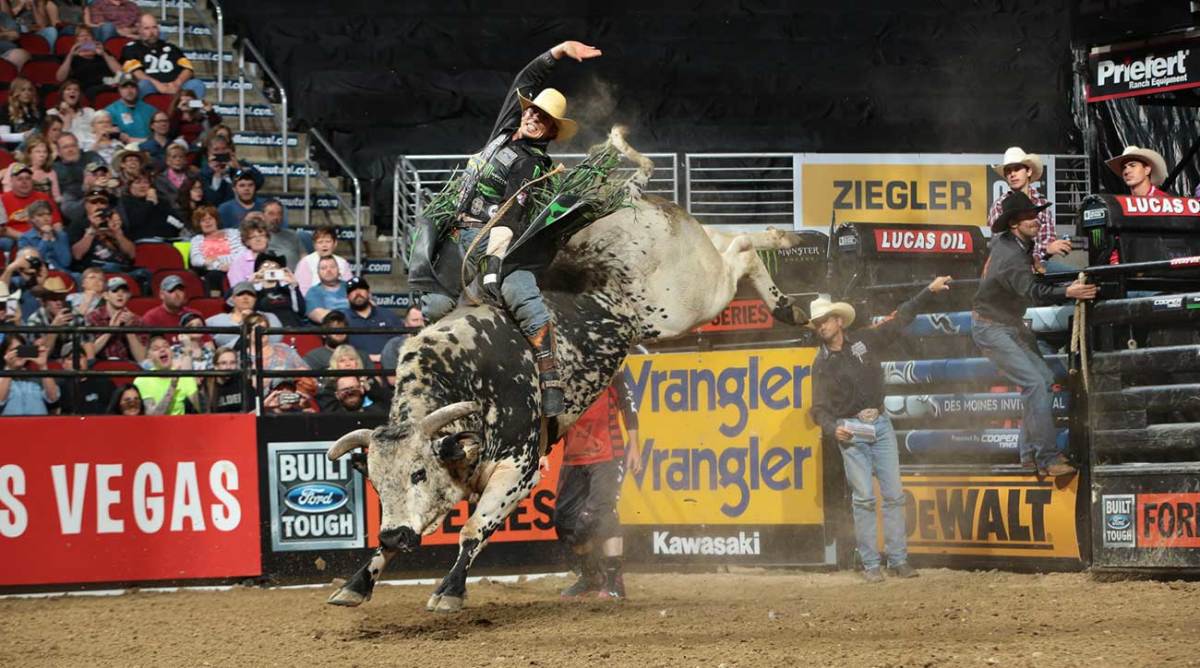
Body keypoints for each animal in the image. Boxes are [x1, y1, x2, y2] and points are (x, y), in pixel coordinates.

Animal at [326, 128, 809, 612]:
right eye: (374, 481)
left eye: (418, 472)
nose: (397, 534)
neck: (468, 378)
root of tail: (629, 199)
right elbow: (400, 539)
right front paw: (357, 582)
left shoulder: (518, 471)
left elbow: (473, 530)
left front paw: (449, 590)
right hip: (692, 261)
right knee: (729, 237)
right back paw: (779, 239)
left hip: (685, 301)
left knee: (740, 253)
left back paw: (790, 305)